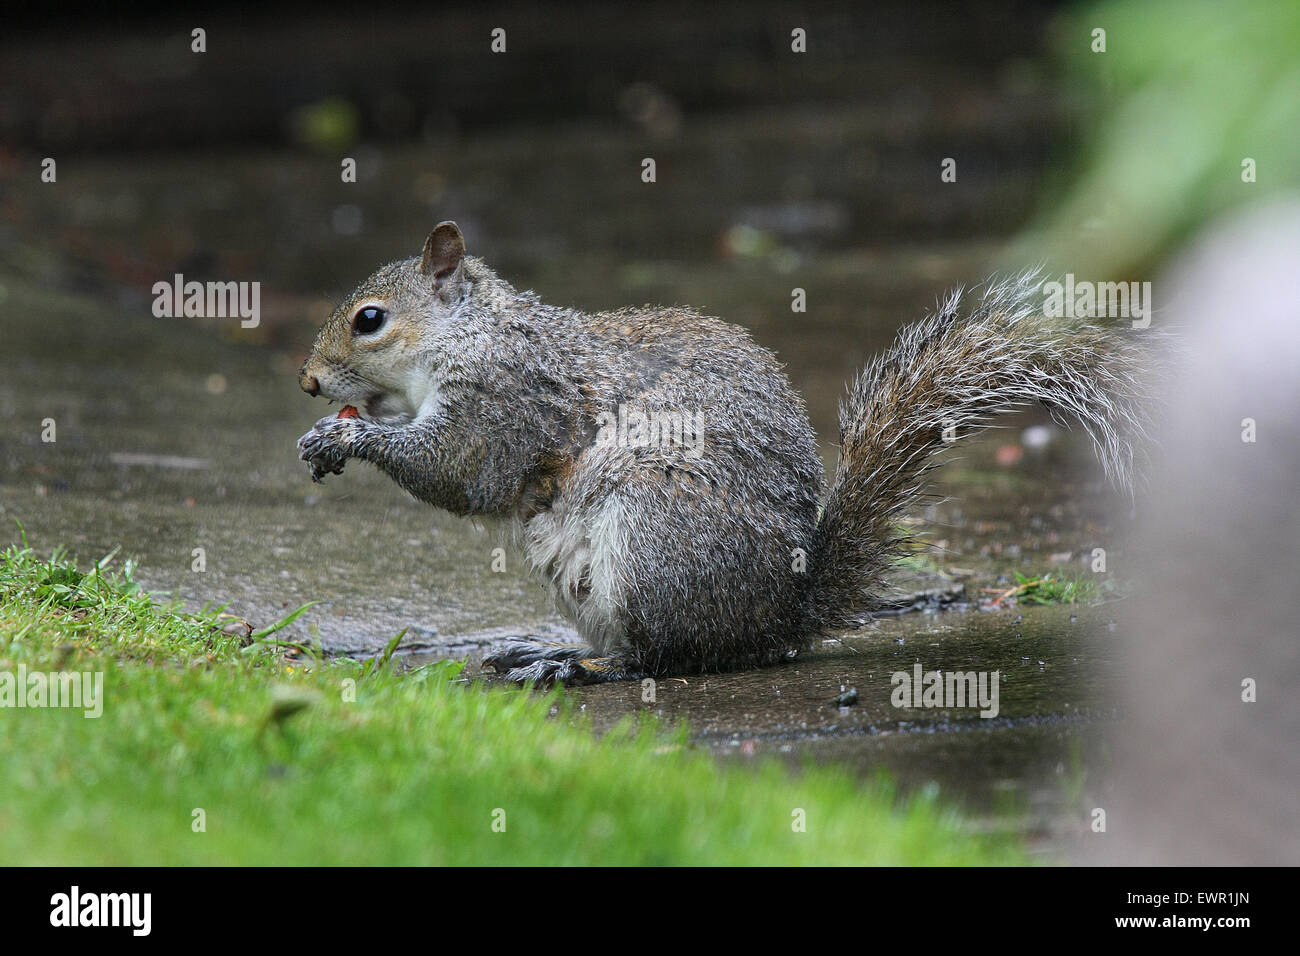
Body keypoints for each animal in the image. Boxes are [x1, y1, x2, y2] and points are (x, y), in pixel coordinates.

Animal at [297, 221, 1155, 684]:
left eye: (370, 319)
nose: (308, 382)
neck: (469, 333)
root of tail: (781, 616)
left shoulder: (505, 400)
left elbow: (463, 472)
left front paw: (348, 435)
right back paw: (543, 649)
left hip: (657, 533)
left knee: (664, 657)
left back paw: (574, 667)